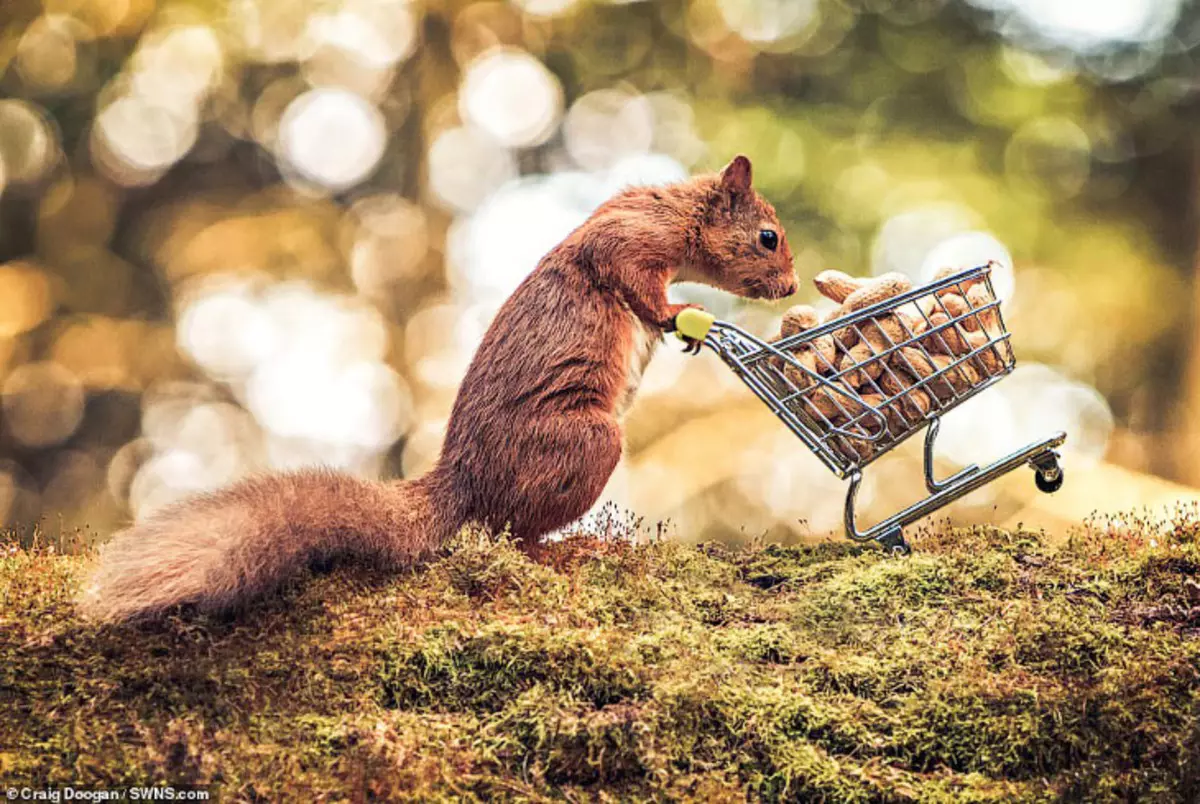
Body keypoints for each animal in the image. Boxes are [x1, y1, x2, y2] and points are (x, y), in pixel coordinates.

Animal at [84, 157, 796, 624]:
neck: (675, 210)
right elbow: (630, 278)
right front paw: (682, 316)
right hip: (585, 441)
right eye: (768, 237)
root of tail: (463, 479)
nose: (790, 287)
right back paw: (568, 551)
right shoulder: (627, 237)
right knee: (511, 532)